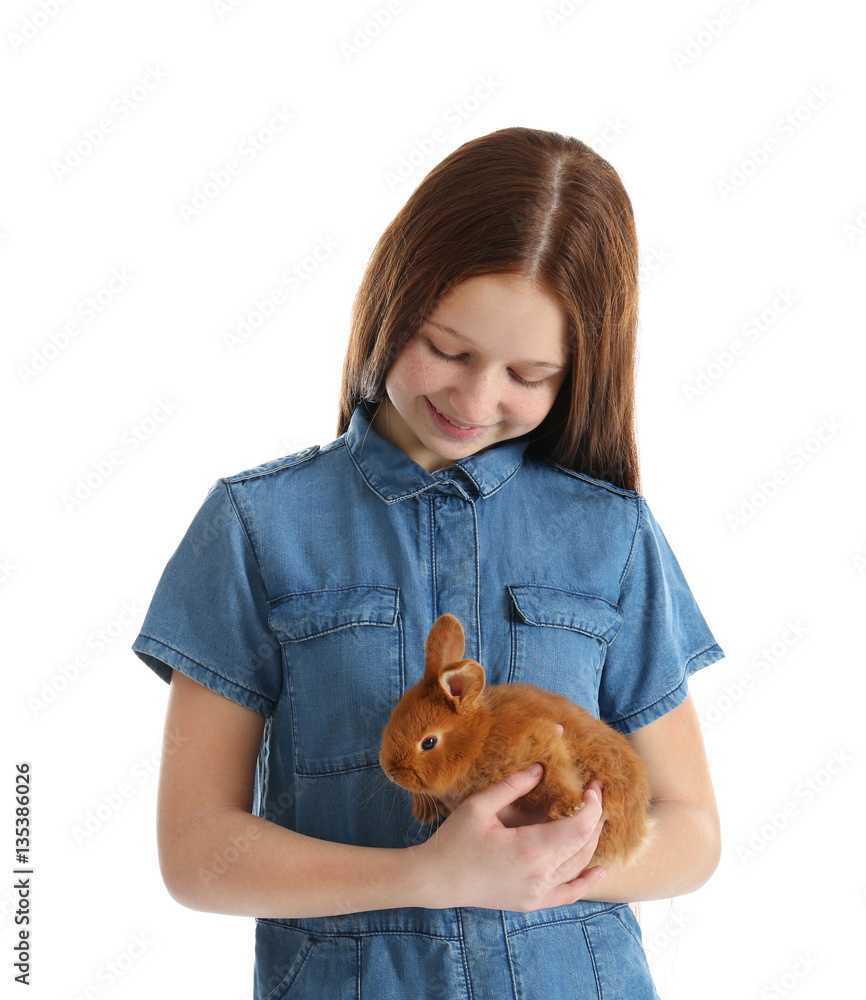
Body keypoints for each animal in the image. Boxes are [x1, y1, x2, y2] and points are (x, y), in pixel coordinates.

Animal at [379, 613, 654, 867]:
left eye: (428, 743)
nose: (390, 772)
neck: (481, 738)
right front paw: (423, 811)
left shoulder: (543, 744)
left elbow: (561, 776)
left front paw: (568, 810)